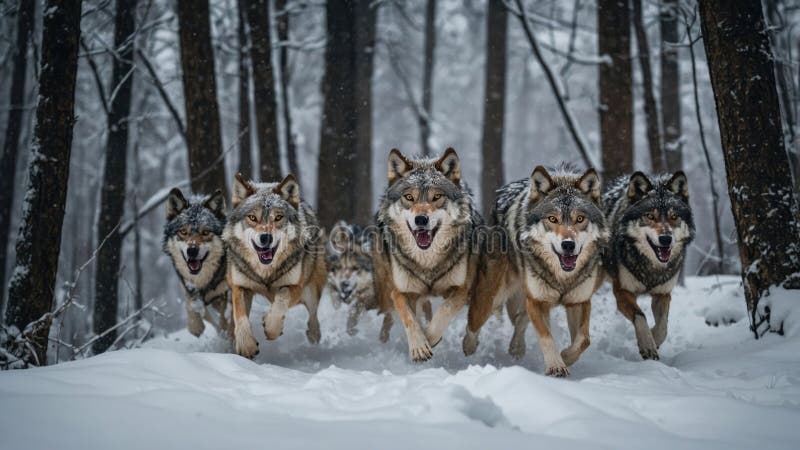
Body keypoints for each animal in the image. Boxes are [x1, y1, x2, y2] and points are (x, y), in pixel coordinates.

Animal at [163, 188, 232, 337]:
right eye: (183, 231)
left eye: (205, 232)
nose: (192, 250)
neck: (203, 280)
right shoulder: (188, 287)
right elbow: (190, 304)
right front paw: (195, 326)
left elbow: (228, 313)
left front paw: (228, 330)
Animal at [223, 173, 326, 358]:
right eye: (252, 218)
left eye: (278, 218)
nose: (266, 238)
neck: (265, 273)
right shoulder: (239, 287)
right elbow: (240, 317)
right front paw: (246, 346)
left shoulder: (295, 286)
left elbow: (280, 301)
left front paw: (271, 327)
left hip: (310, 290)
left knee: (313, 315)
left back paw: (313, 335)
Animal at [374, 148, 484, 362]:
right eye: (409, 197)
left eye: (436, 197)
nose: (421, 219)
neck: (428, 263)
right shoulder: (400, 292)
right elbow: (410, 319)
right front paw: (419, 347)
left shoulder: (461, 289)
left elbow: (444, 312)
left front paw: (431, 338)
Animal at [463, 165, 607, 377]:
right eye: (552, 219)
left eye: (580, 218)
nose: (568, 245)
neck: (562, 277)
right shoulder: (538, 301)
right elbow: (546, 337)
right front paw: (556, 366)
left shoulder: (578, 301)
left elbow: (583, 340)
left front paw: (565, 357)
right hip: (493, 295)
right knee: (474, 321)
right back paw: (468, 347)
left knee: (521, 320)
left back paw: (517, 348)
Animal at [603, 171, 694, 360]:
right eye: (650, 216)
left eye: (674, 217)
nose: (666, 239)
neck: (652, 268)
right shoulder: (622, 292)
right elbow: (640, 316)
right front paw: (647, 345)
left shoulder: (663, 294)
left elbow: (663, 327)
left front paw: (653, 340)